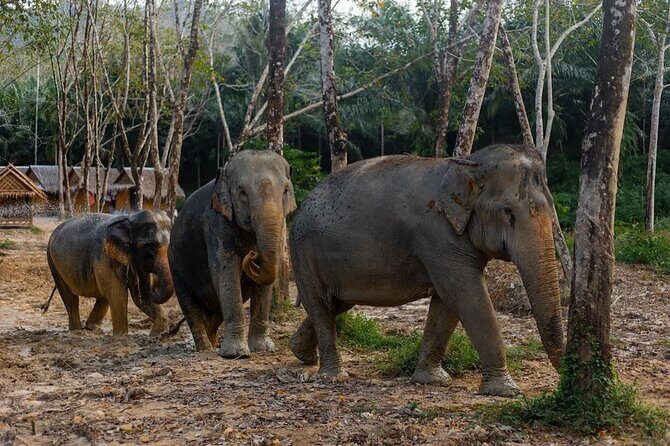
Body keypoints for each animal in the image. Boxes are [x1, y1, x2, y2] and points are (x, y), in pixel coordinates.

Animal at [168, 149, 297, 358]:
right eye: (242, 193)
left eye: (286, 190)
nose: (253, 255)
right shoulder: (216, 224)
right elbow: (226, 274)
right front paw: (236, 354)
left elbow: (265, 283)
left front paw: (263, 348)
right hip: (175, 265)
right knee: (189, 304)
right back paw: (204, 348)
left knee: (214, 310)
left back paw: (213, 343)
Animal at [288, 144, 565, 397]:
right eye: (508, 213)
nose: (559, 383)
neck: (468, 163)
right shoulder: (438, 238)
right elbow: (467, 295)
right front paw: (504, 391)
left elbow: (447, 304)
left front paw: (431, 380)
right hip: (303, 252)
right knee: (320, 304)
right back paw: (334, 375)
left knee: (337, 303)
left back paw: (300, 353)